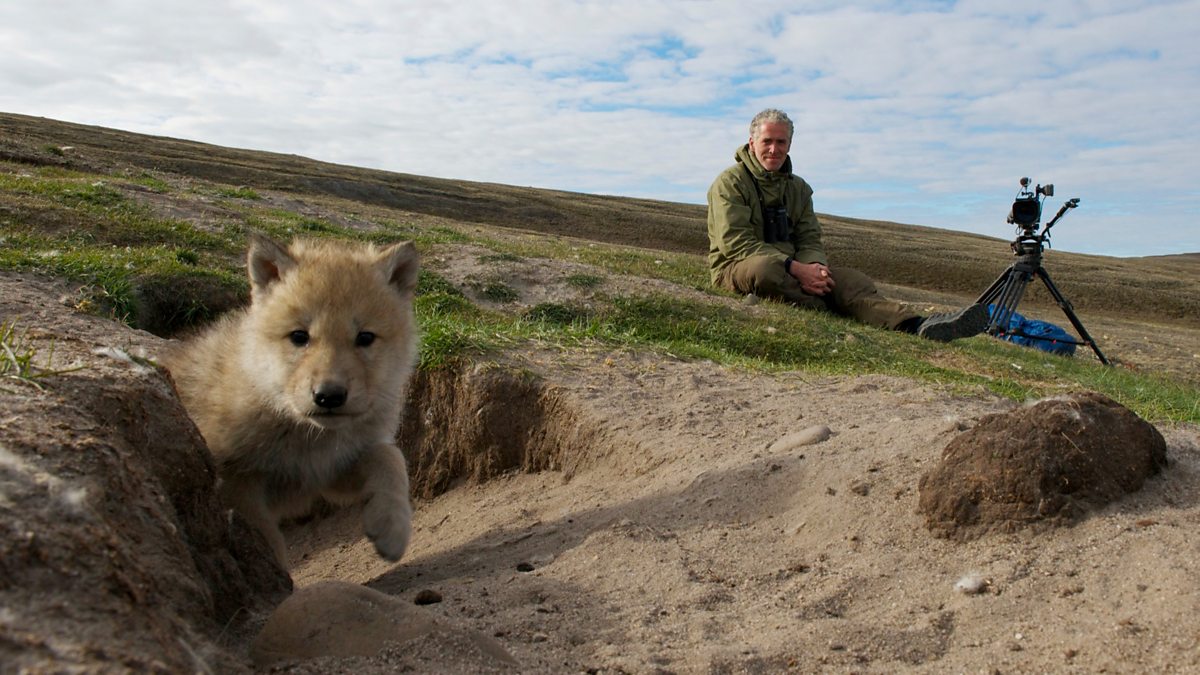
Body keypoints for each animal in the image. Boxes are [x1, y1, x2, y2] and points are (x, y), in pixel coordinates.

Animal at [163, 234, 420, 568]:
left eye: (365, 338)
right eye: (299, 336)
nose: (328, 396)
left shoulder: (329, 470)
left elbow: (390, 458)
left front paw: (392, 524)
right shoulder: (237, 481)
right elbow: (266, 537)